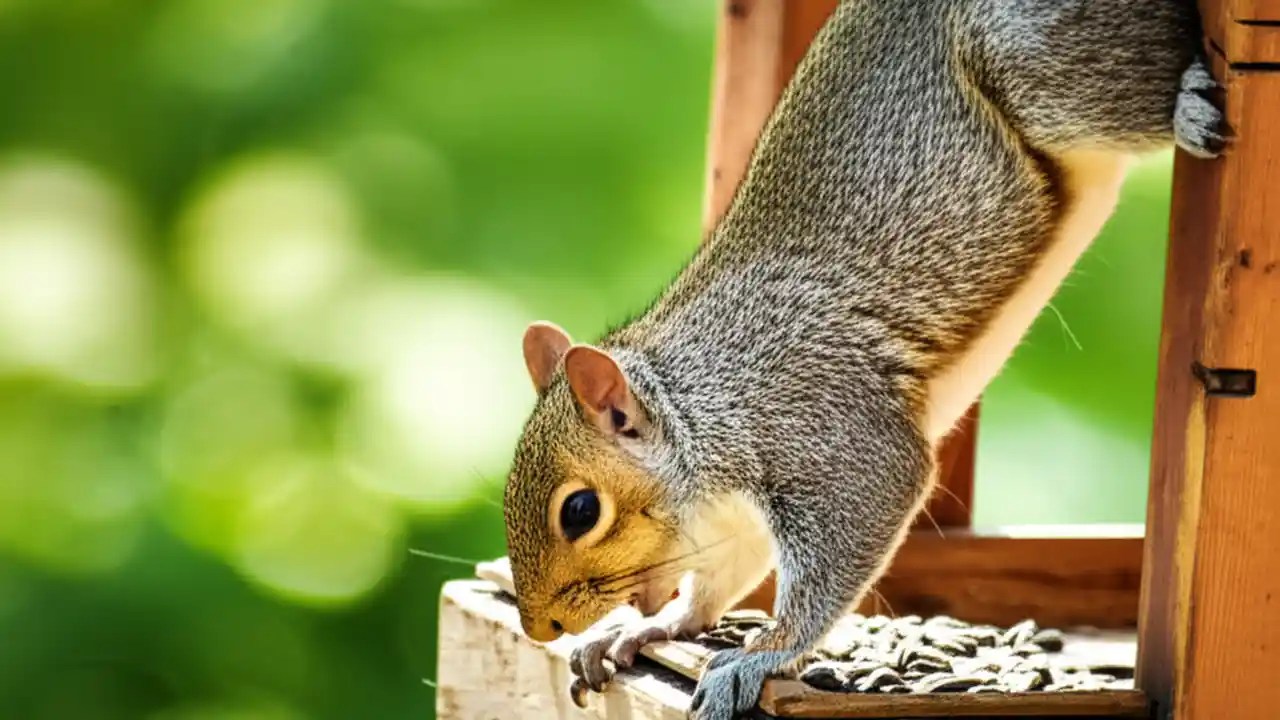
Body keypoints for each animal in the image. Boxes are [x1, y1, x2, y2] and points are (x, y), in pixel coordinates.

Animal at [501, 1, 1224, 718]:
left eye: (580, 512)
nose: (540, 628)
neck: (698, 408)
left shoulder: (821, 425)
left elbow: (849, 528)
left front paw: (759, 656)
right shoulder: (734, 526)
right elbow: (717, 581)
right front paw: (648, 629)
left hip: (1042, 62)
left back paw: (1190, 103)